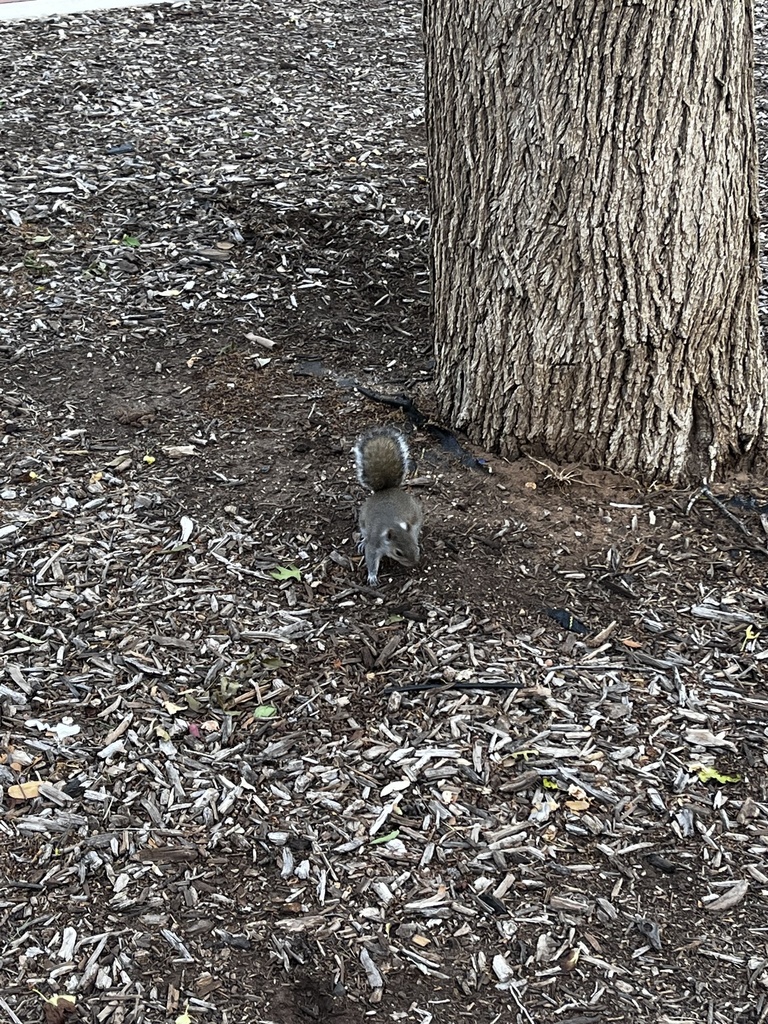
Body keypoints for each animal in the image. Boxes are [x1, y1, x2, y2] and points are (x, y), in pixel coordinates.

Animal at [353, 426, 423, 587]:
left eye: (415, 545)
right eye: (398, 553)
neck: (393, 525)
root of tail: (386, 490)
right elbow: (371, 559)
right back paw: (362, 541)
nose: (415, 562)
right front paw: (372, 576)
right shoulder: (374, 545)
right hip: (363, 522)